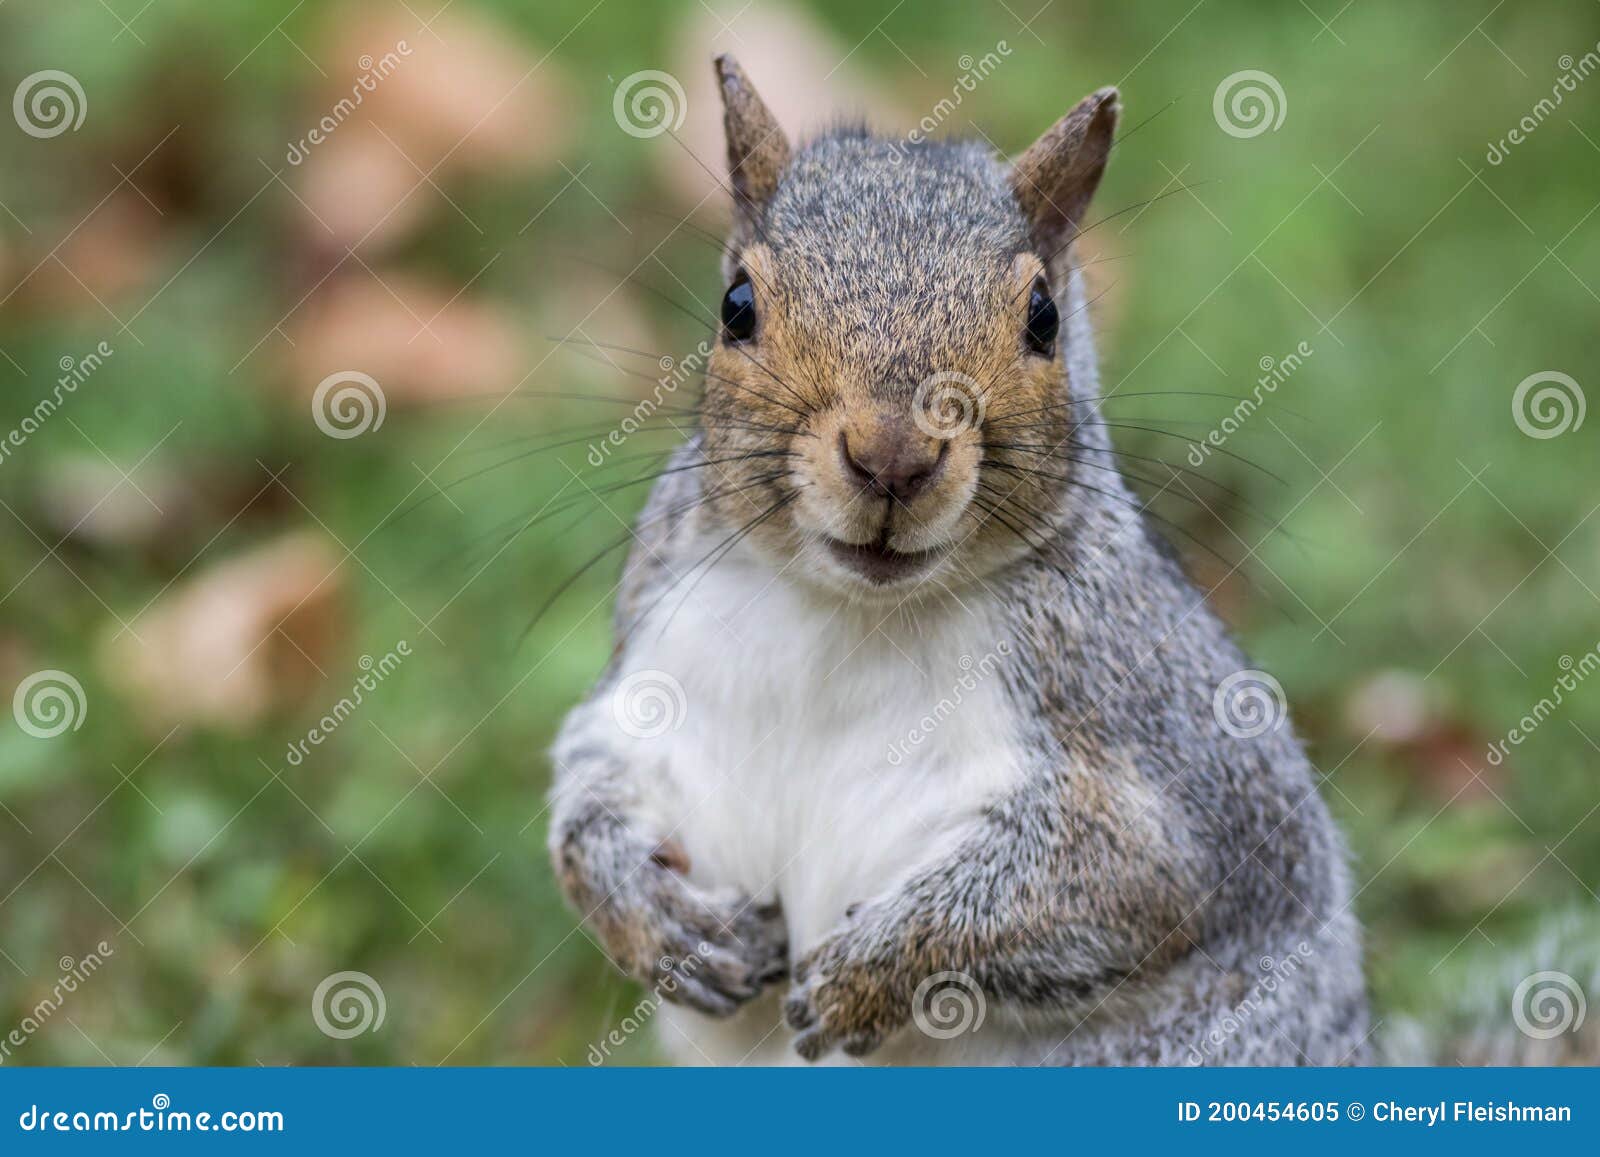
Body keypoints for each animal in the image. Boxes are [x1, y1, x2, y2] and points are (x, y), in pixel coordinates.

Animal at [546, 55, 1370, 1065]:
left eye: (1044, 318)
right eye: (736, 306)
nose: (893, 456)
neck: (849, 612)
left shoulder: (1158, 755)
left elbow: (1123, 879)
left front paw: (866, 973)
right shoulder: (652, 667)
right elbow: (587, 789)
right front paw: (656, 921)